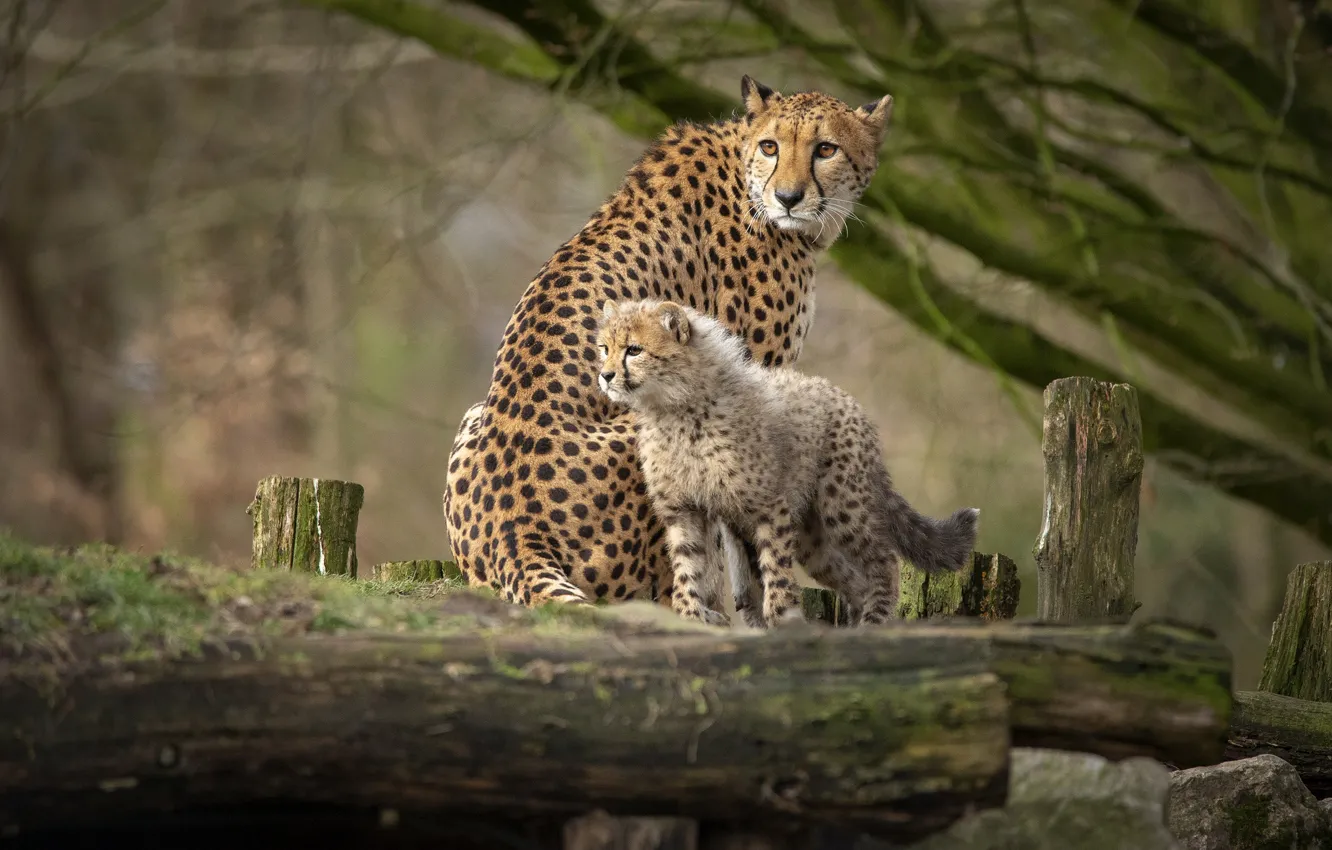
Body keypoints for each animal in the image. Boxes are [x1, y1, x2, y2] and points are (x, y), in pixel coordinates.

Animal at [597, 298, 981, 628]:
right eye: (604, 348)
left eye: (634, 350)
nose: (605, 375)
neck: (674, 409)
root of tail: (846, 399)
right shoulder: (683, 510)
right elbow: (687, 568)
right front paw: (691, 616)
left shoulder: (769, 505)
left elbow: (776, 571)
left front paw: (782, 620)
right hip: (812, 538)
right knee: (851, 579)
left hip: (843, 505)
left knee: (884, 560)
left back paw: (874, 623)